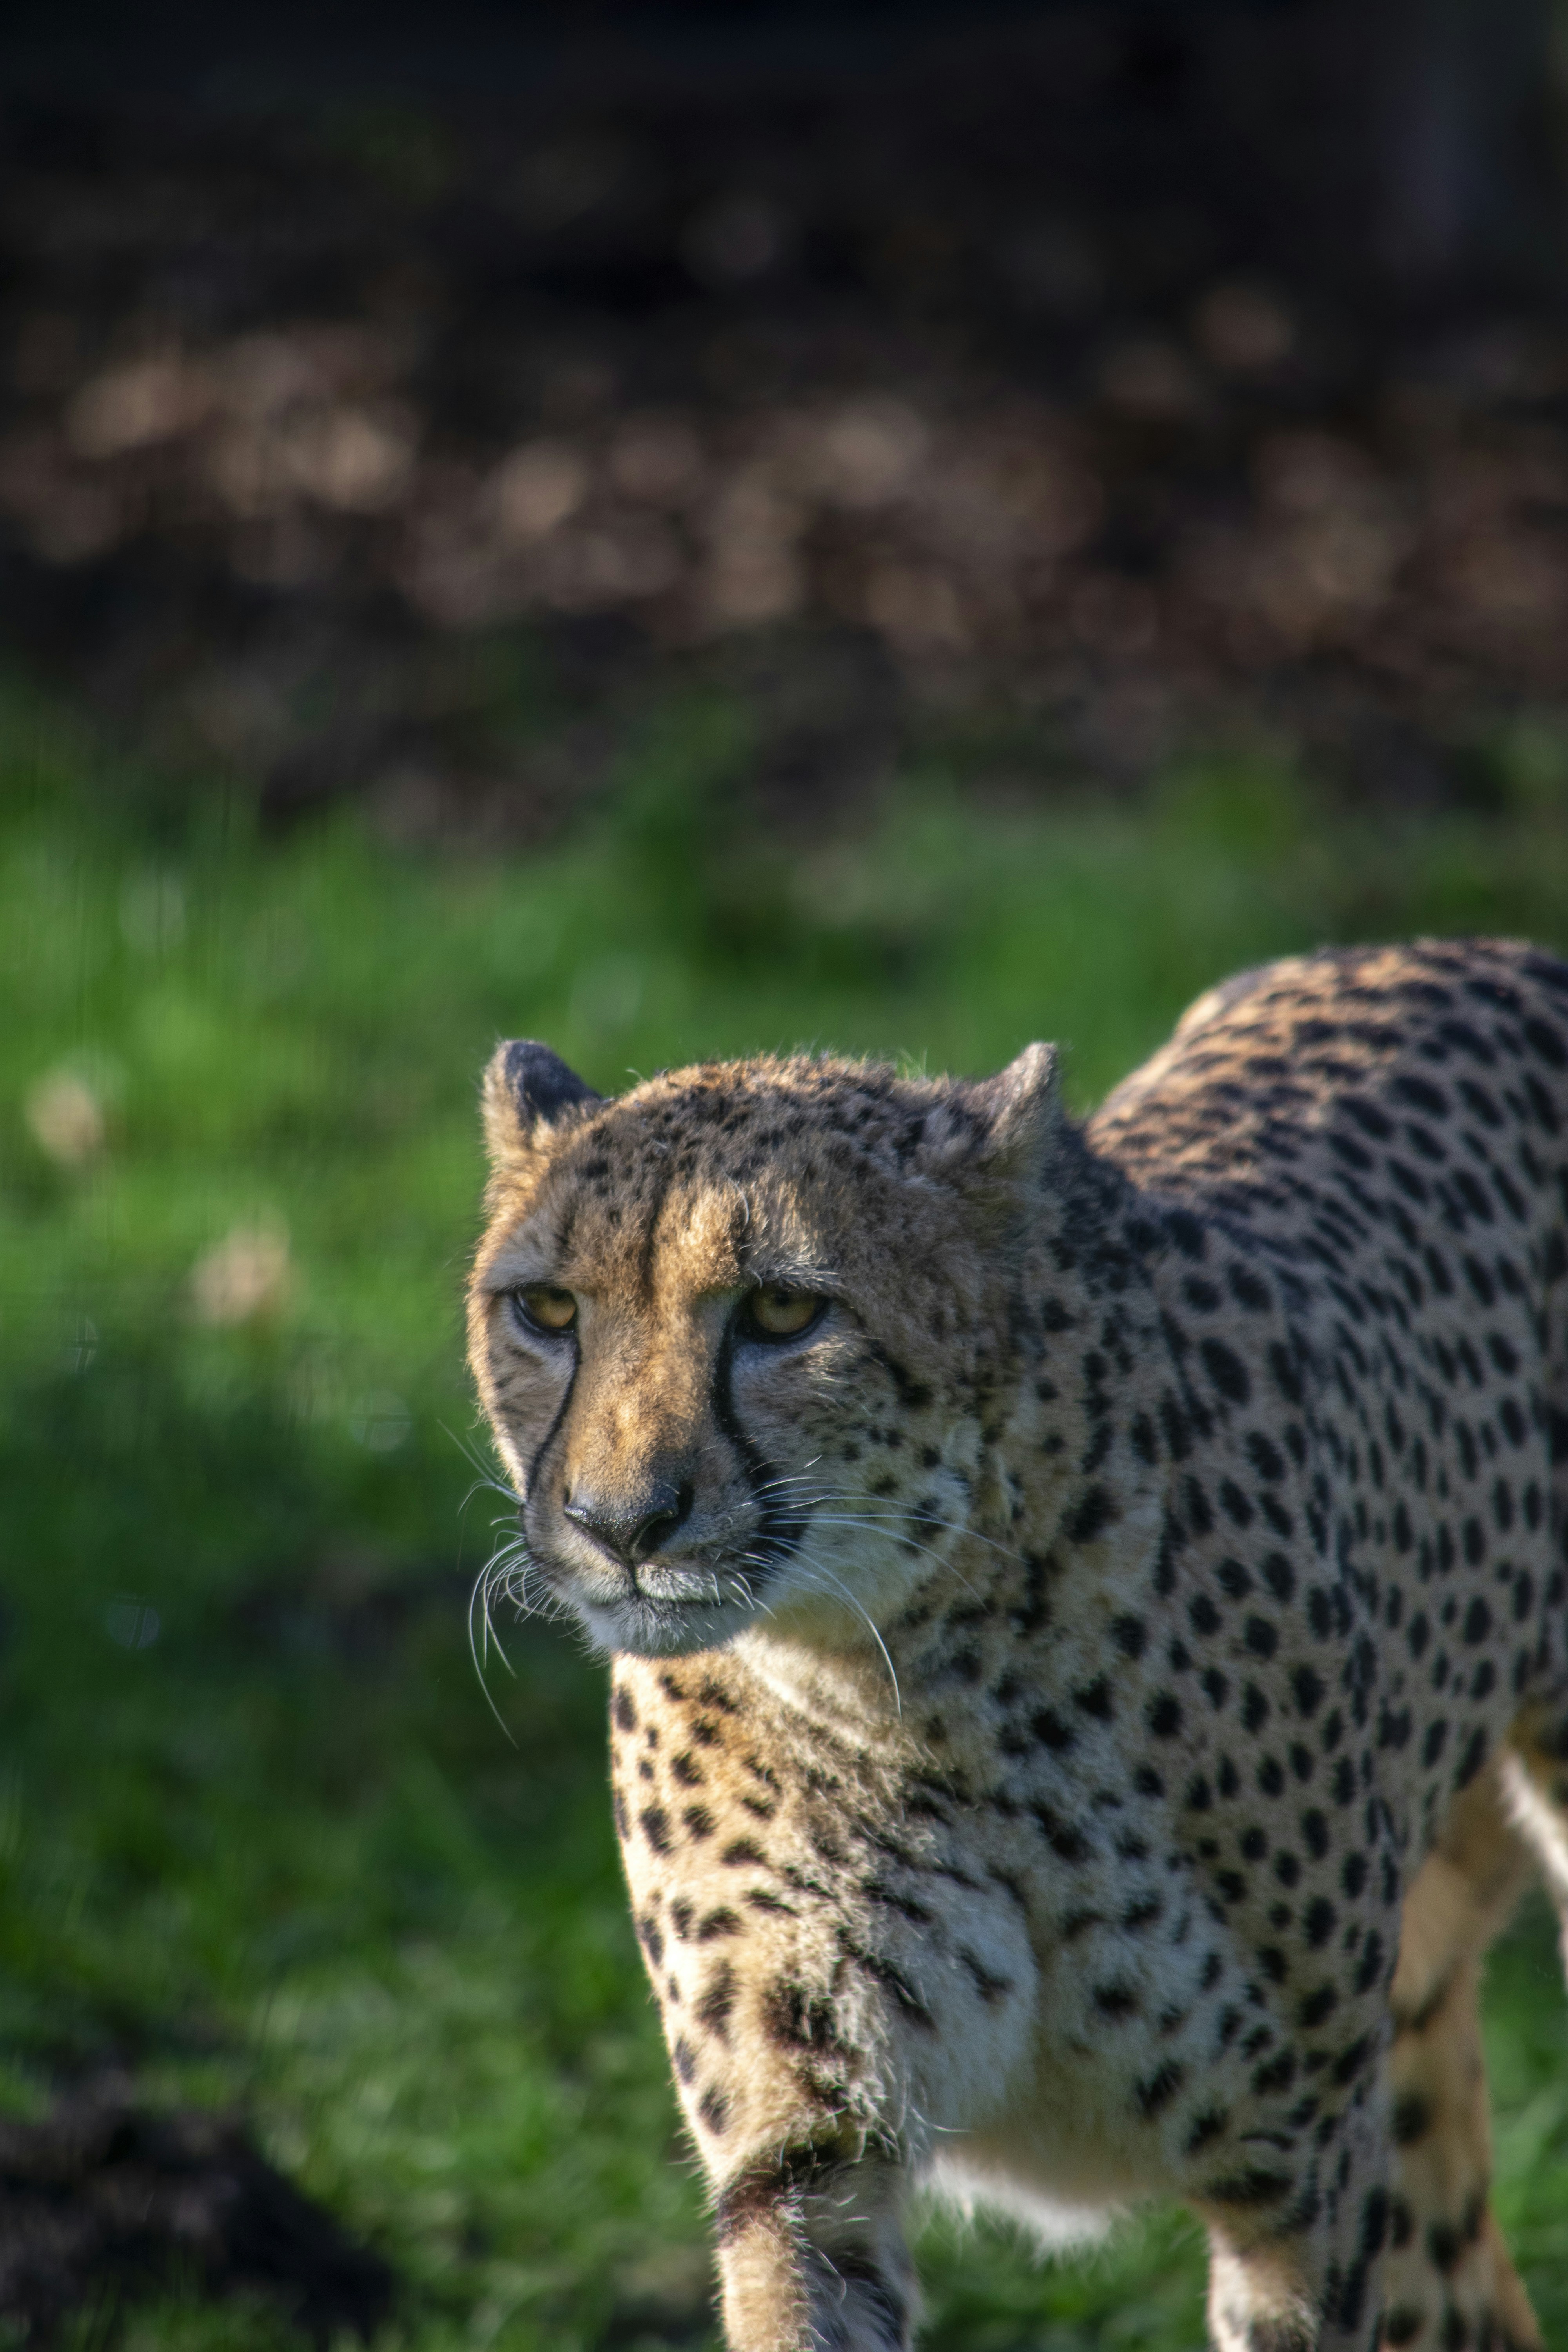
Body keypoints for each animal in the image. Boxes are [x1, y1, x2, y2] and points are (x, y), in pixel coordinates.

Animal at [466, 937, 1568, 2352]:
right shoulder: (803, 2150)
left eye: (783, 1311)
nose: (621, 1523)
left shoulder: (1301, 2178)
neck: (909, 1676)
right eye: (547, 1310)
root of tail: (1461, 946)